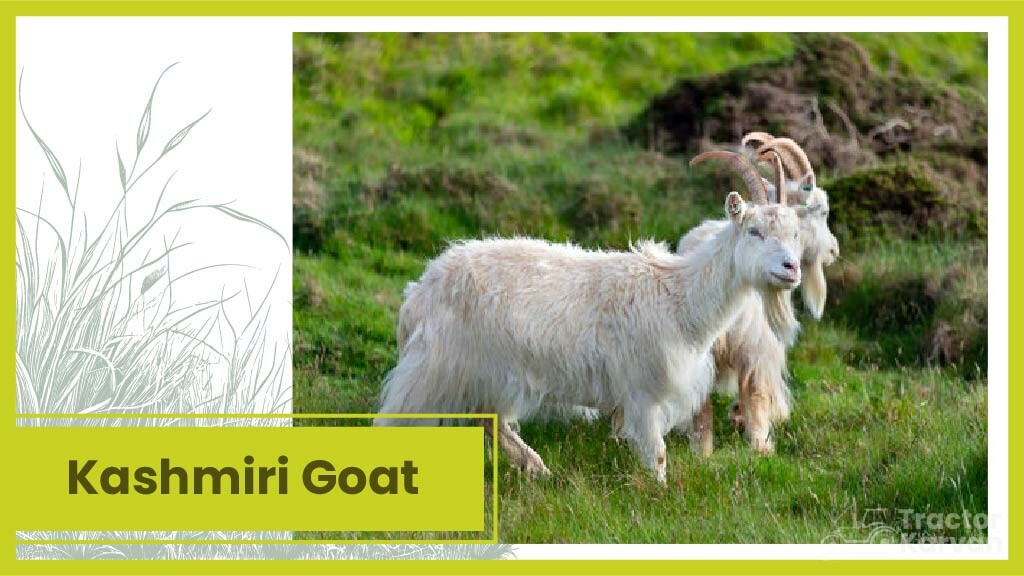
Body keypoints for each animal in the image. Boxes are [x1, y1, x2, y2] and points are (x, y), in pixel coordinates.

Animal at [375, 152, 802, 483]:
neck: (677, 295)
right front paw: (661, 496)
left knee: (488, 417)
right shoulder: (642, 390)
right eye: (753, 230)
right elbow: (658, 454)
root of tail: (419, 292)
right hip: (440, 368)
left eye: (795, 234)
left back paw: (536, 467)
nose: (791, 268)